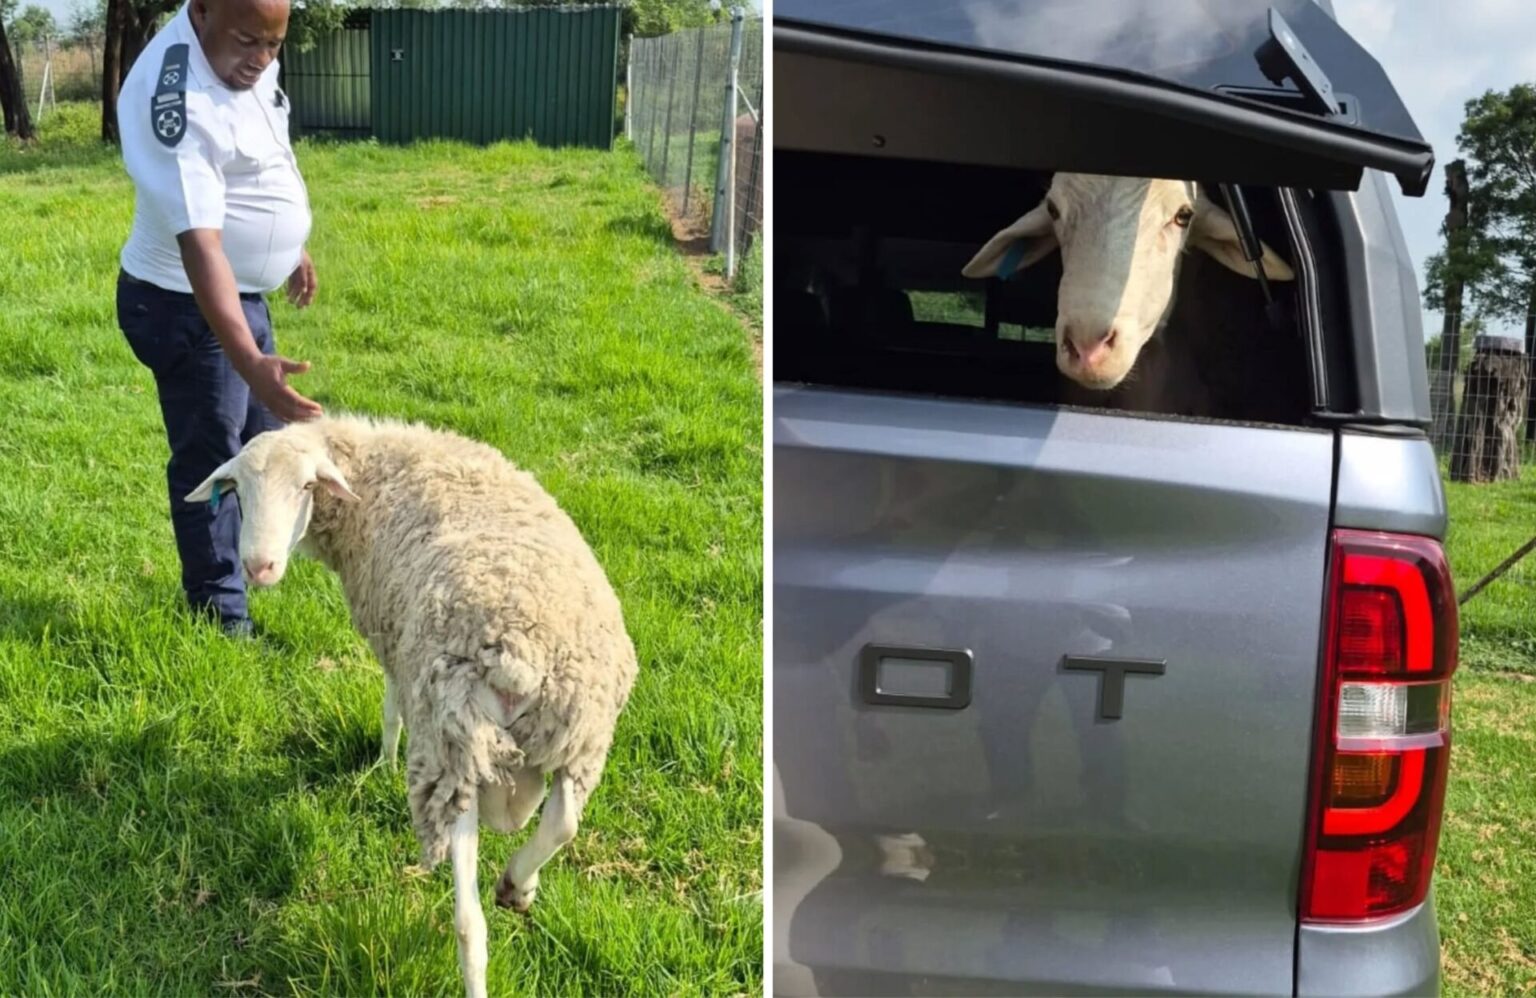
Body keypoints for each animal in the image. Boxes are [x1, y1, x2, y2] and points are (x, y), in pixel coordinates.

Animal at [183, 414, 639, 998]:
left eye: (307, 486)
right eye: (237, 490)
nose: (258, 566)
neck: (368, 476)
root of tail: (522, 660)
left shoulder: (391, 640)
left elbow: (390, 707)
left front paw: (381, 762)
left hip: (452, 746)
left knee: (469, 923)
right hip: (579, 737)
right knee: (562, 823)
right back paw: (517, 883)